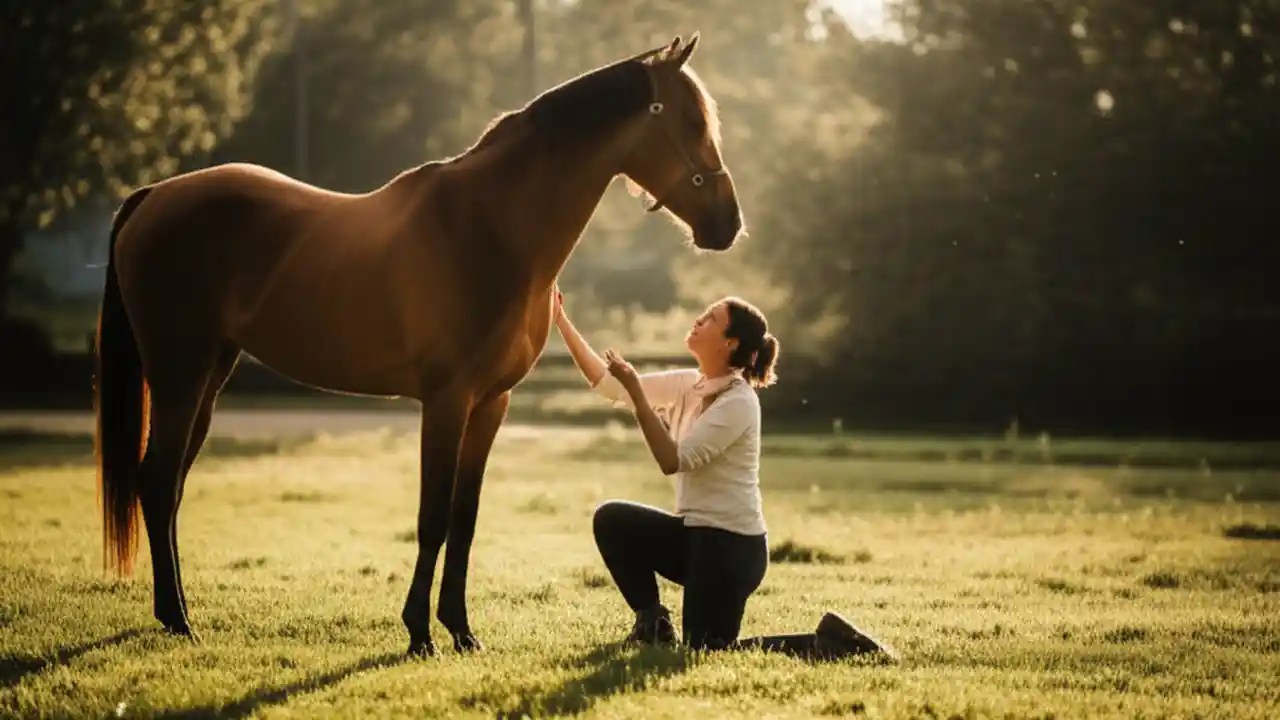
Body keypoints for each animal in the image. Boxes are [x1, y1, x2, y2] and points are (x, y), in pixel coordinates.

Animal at [94, 33, 742, 657]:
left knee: (171, 486)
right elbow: (431, 518)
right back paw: (179, 620)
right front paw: (419, 633)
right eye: (688, 120)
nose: (728, 224)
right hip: (179, 375)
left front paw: (461, 630)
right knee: (158, 482)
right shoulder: (447, 400)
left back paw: (175, 612)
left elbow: (464, 519)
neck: (492, 228)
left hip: (209, 377)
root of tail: (154, 196)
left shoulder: (490, 404)